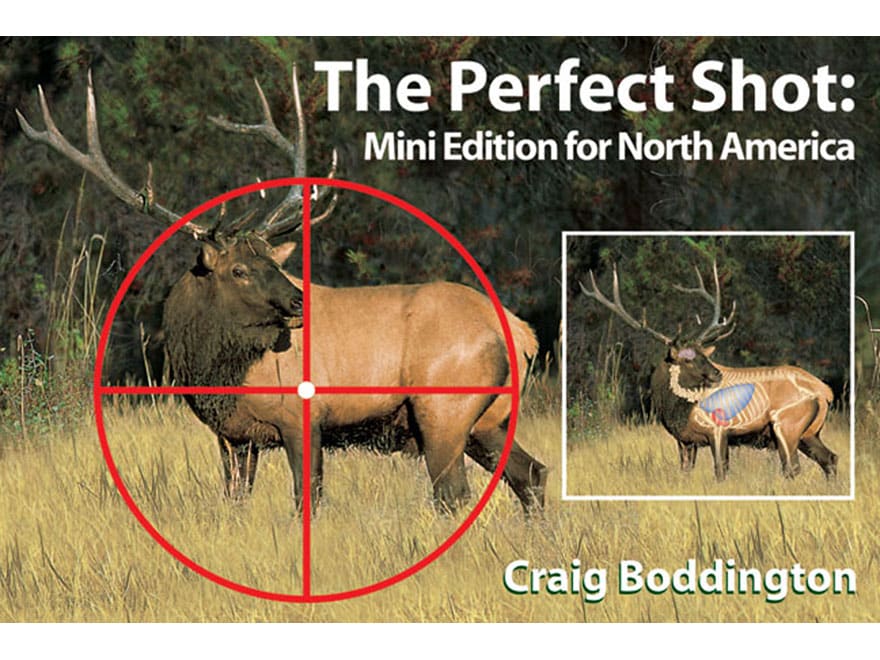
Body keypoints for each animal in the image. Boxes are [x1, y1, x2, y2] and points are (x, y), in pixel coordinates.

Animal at [17, 68, 548, 515]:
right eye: (239, 270)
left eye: (273, 262)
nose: (297, 301)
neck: (220, 375)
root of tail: (523, 334)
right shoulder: (233, 437)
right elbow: (234, 501)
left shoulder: (302, 418)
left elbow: (306, 500)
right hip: (489, 421)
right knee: (532, 473)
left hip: (444, 408)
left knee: (452, 494)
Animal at [580, 260, 838, 481]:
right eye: (688, 359)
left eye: (705, 355)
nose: (717, 374)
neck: (677, 411)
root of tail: (825, 392)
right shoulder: (684, 441)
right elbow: (685, 473)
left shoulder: (719, 429)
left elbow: (720, 471)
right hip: (809, 432)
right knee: (830, 459)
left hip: (787, 424)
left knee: (792, 467)